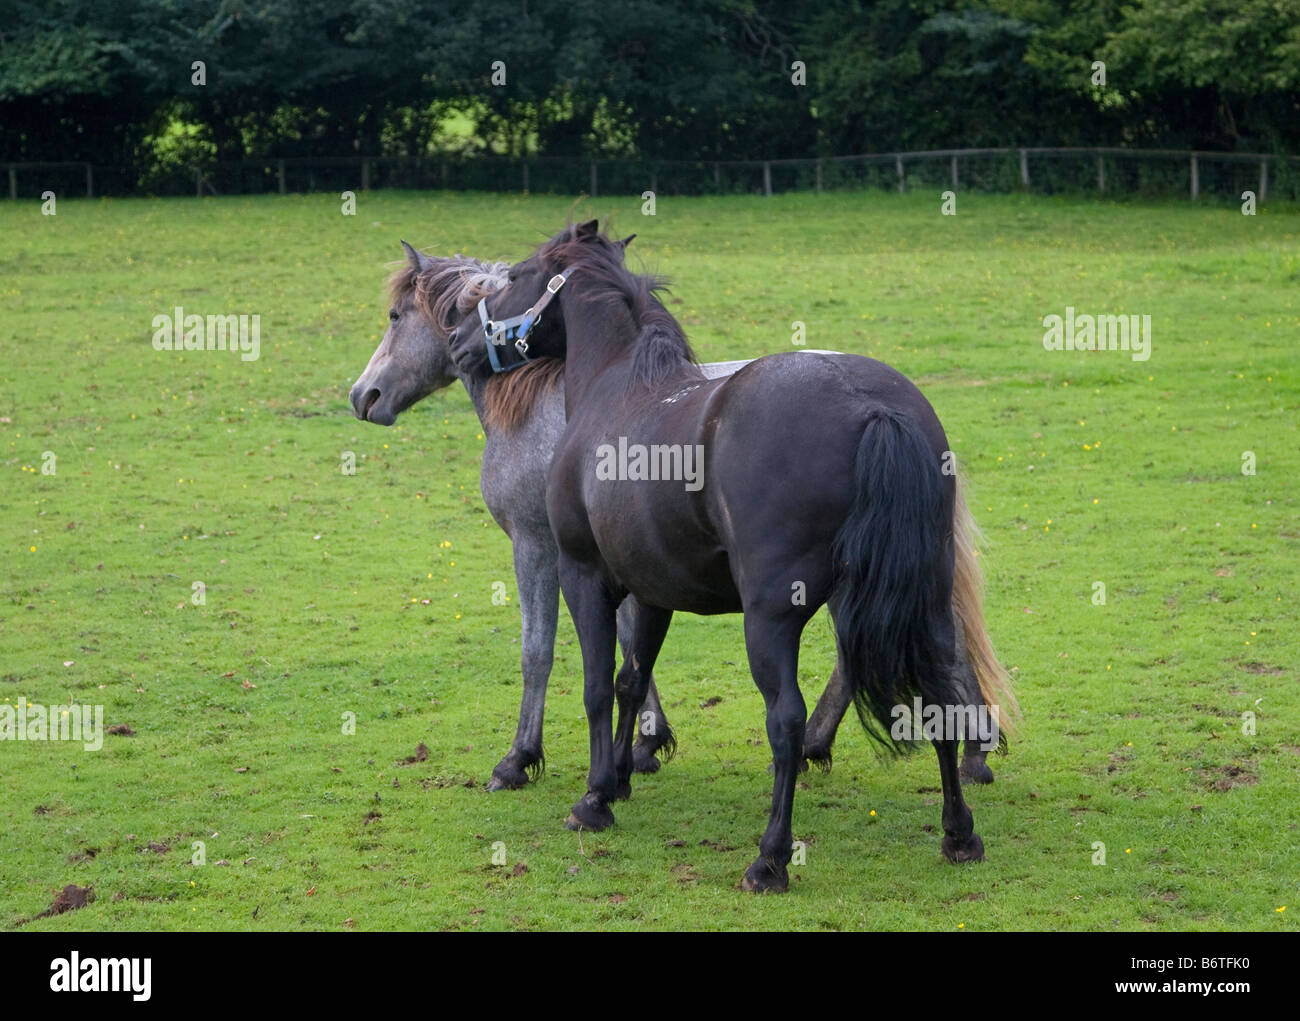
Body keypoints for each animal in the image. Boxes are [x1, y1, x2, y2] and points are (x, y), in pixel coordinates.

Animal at [447, 221, 1016, 892]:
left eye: (513, 276)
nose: (457, 339)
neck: (618, 390)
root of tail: (872, 406)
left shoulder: (583, 576)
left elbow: (594, 685)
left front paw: (591, 800)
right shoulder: (652, 591)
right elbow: (631, 681)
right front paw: (618, 779)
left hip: (772, 618)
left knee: (787, 722)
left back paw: (770, 858)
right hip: (921, 602)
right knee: (938, 695)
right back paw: (959, 833)